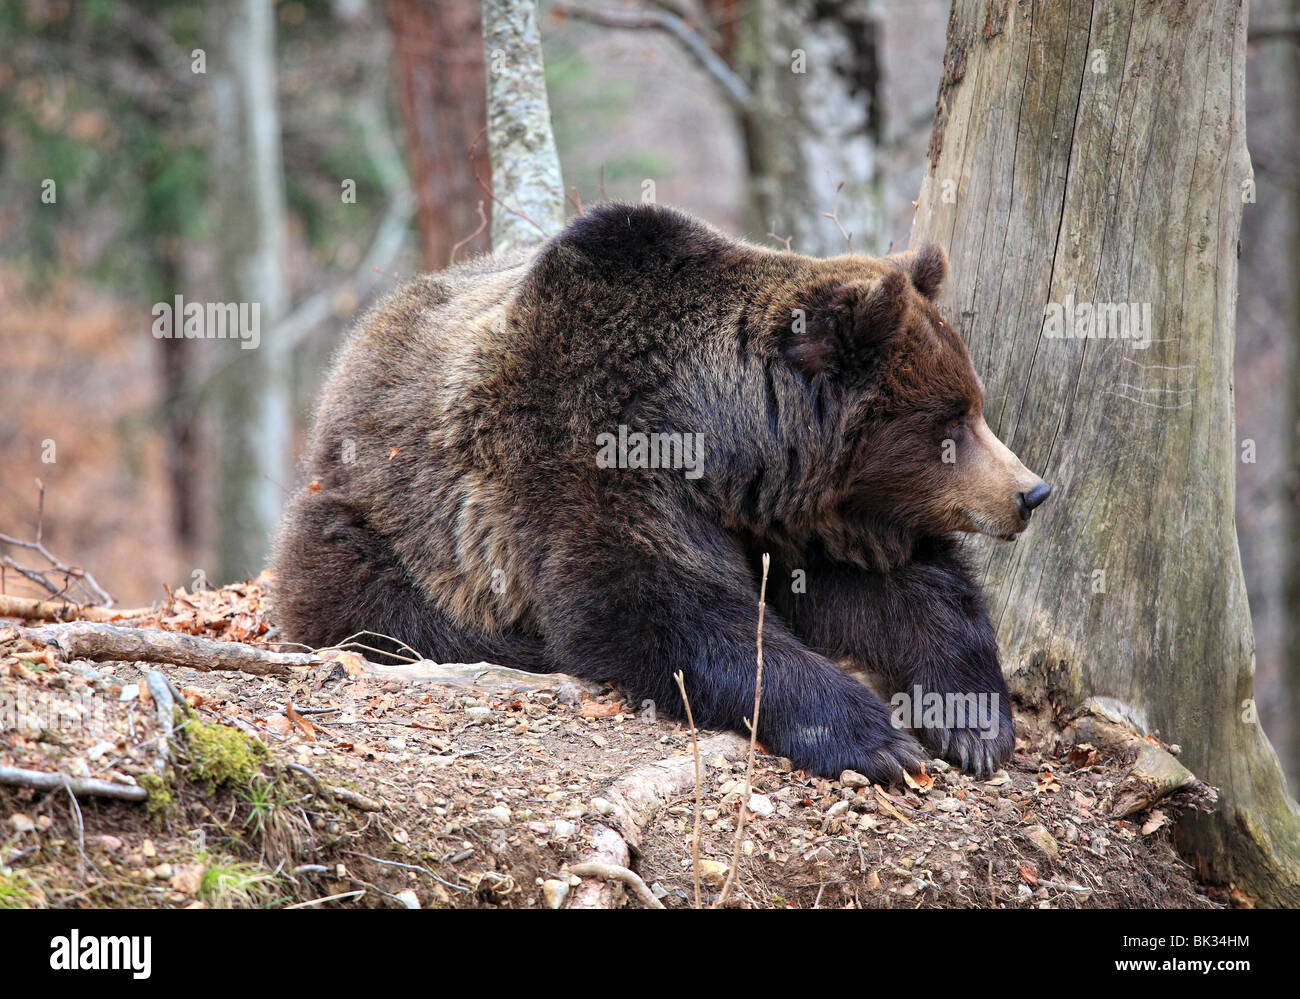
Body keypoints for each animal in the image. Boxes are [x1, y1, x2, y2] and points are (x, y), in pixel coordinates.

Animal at [272, 203, 1050, 783]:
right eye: (953, 422)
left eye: (972, 404)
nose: (1031, 491)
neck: (720, 444)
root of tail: (356, 349)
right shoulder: (595, 460)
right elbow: (661, 611)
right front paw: (876, 738)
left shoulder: (797, 514)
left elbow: (905, 589)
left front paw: (972, 722)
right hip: (381, 516)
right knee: (373, 601)